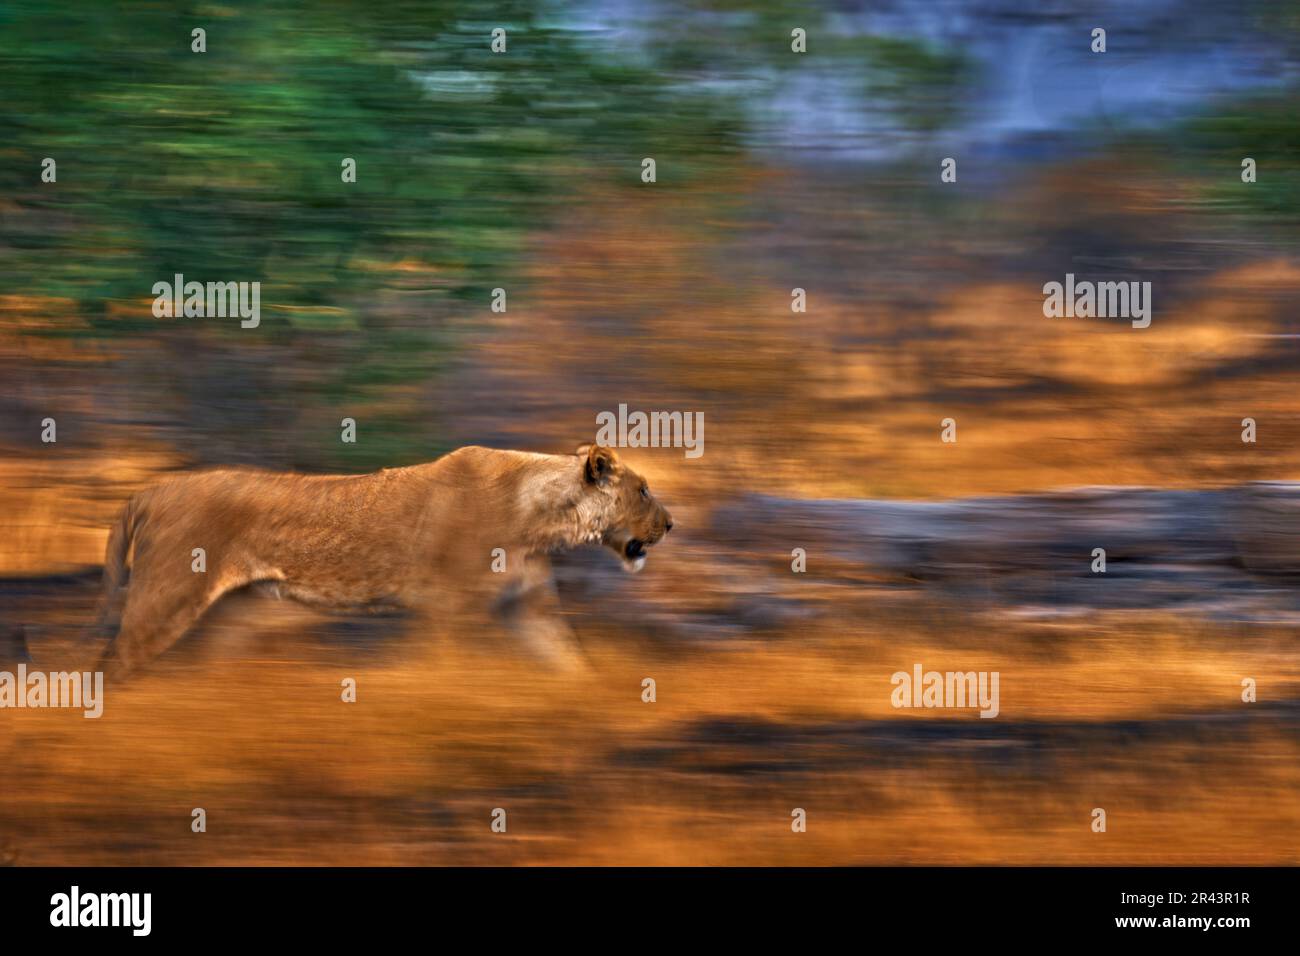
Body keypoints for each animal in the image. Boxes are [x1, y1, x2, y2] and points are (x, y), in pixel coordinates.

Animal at [91, 444, 672, 676]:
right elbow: (445, 671)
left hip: (236, 614)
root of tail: (152, 490)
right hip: (167, 599)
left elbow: (569, 662)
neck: (541, 520)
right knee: (112, 665)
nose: (671, 524)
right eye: (644, 490)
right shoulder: (449, 610)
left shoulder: (528, 607)